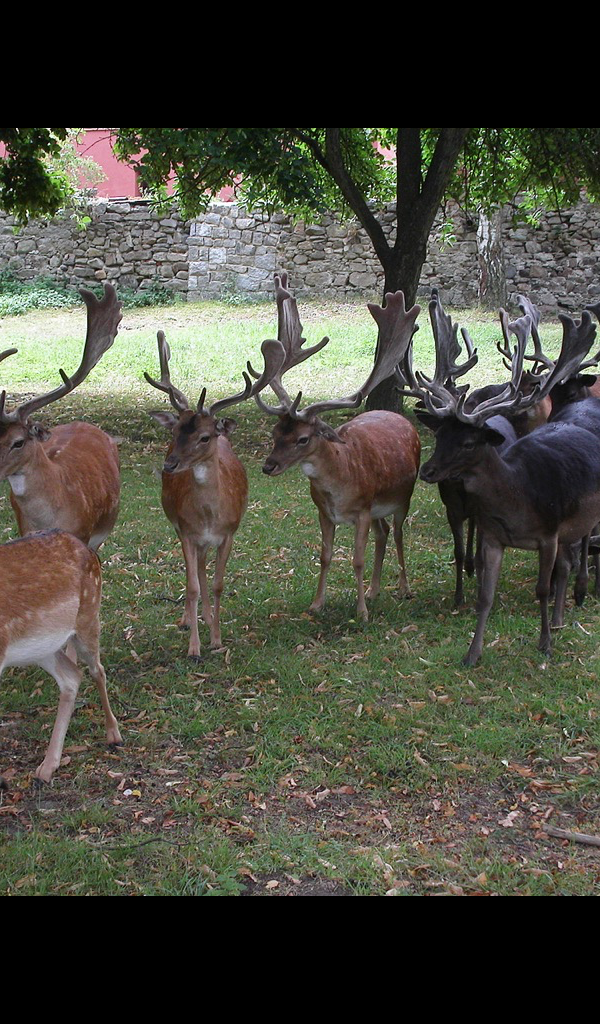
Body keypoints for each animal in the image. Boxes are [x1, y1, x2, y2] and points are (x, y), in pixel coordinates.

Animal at [0, 530, 122, 784]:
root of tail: (89, 550)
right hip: (43, 646)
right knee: (72, 676)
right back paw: (47, 767)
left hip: (88, 615)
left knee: (97, 670)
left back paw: (114, 735)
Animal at [146, 332, 285, 658]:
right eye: (175, 434)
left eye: (204, 436)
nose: (170, 465)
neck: (209, 516)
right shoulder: (186, 530)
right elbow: (194, 585)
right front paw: (194, 648)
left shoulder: (229, 532)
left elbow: (219, 583)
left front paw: (218, 639)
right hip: (177, 524)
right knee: (195, 570)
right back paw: (190, 619)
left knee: (202, 567)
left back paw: (208, 618)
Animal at [257, 273, 421, 621]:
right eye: (276, 431)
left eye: (303, 438)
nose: (268, 465)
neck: (340, 484)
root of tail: (399, 417)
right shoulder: (324, 513)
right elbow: (326, 556)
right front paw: (317, 603)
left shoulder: (362, 509)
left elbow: (356, 559)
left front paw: (361, 613)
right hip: (379, 507)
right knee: (383, 533)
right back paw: (374, 590)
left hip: (403, 495)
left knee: (399, 533)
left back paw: (403, 587)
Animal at [413, 304, 600, 664]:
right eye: (440, 434)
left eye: (469, 442)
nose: (427, 470)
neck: (517, 498)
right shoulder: (494, 537)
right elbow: (486, 594)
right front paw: (472, 653)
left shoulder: (548, 534)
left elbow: (542, 587)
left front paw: (544, 645)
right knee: (567, 561)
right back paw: (561, 615)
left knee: (579, 551)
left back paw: (578, 595)